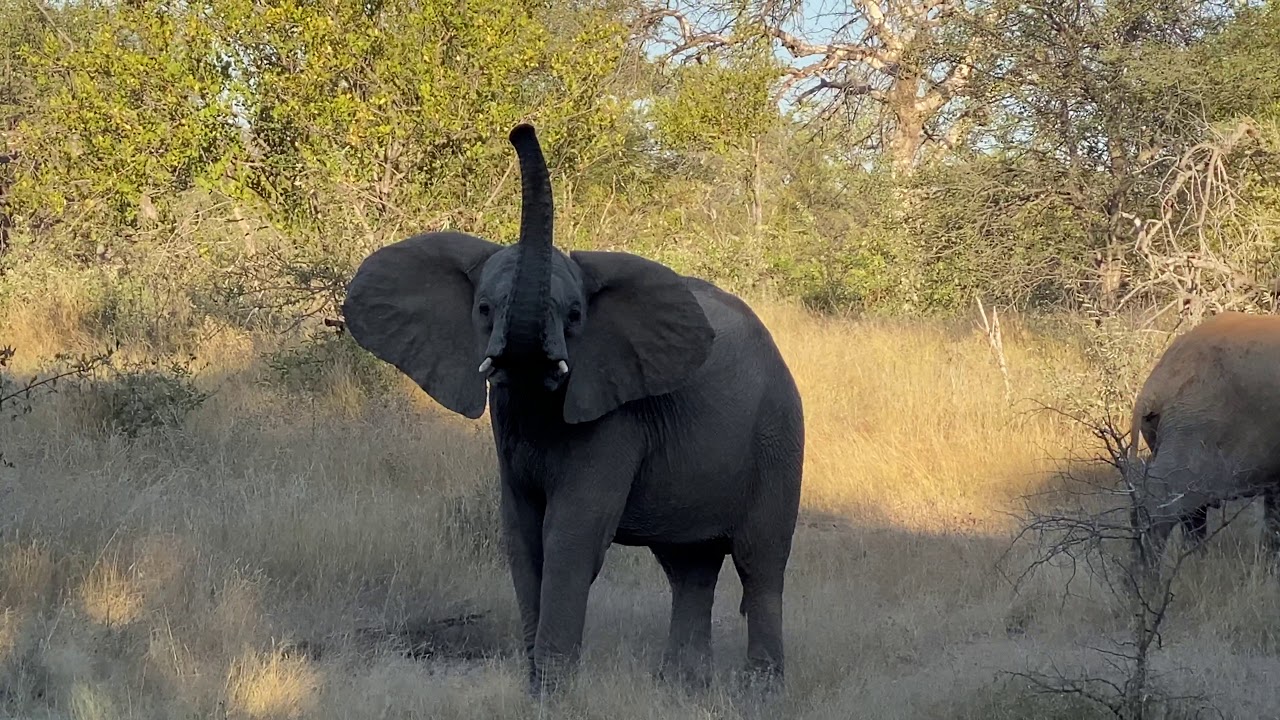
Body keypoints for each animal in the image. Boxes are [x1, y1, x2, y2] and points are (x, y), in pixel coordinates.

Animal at [340, 123, 805, 695]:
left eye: (576, 314)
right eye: (483, 309)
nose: (521, 130)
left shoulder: (616, 417)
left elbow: (570, 536)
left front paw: (551, 693)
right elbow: (522, 536)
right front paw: (535, 687)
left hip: (778, 434)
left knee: (760, 563)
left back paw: (759, 696)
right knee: (688, 567)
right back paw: (681, 689)